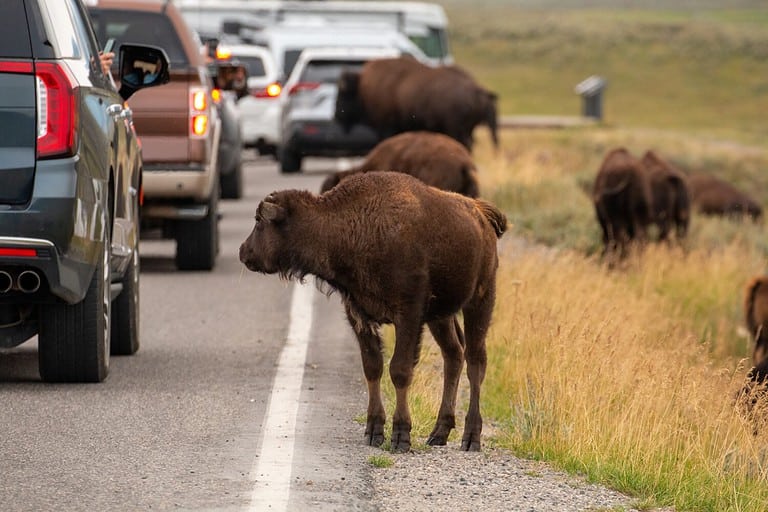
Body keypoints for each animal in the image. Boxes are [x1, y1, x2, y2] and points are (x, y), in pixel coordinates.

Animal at [239, 171, 508, 452]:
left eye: (259, 221)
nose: (244, 252)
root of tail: (481, 214)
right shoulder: (359, 315)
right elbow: (373, 367)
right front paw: (373, 431)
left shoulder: (408, 315)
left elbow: (399, 370)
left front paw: (400, 435)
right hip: (441, 316)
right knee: (453, 355)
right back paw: (439, 433)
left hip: (480, 301)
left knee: (475, 361)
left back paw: (471, 437)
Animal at [335, 57, 498, 151]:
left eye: (342, 94)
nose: (337, 115)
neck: (363, 88)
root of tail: (477, 89)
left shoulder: (387, 128)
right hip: (468, 129)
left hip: (456, 129)